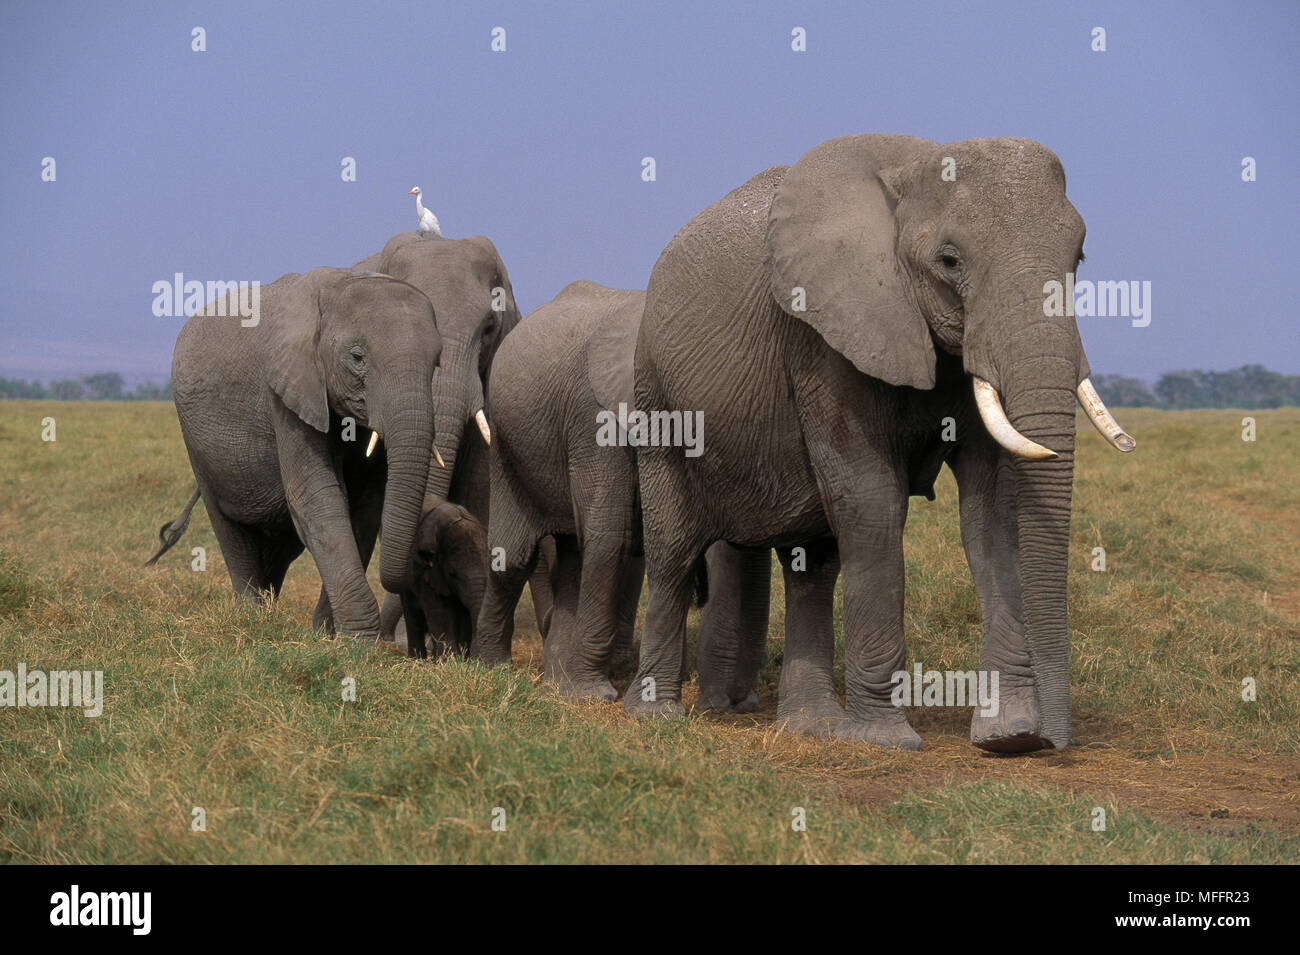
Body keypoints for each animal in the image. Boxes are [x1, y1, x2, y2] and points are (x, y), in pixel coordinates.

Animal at [150, 267, 440, 638]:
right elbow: (317, 497)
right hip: (195, 441)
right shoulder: (287, 391)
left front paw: (328, 636)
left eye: (437, 362)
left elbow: (364, 507)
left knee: (281, 546)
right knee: (231, 533)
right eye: (357, 357)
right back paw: (253, 619)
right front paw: (360, 640)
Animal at [384, 496, 489, 658]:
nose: (476, 657)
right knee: (413, 616)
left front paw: (462, 659)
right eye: (452, 574)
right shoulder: (427, 573)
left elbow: (463, 614)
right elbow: (440, 612)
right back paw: (417, 659)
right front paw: (451, 661)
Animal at [472, 280, 771, 707]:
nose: (741, 702)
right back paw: (497, 669)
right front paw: (596, 696)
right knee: (514, 557)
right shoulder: (593, 417)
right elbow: (612, 536)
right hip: (505, 444)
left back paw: (557, 682)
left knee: (574, 554)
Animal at [626, 134, 1135, 752]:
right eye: (949, 261)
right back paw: (656, 718)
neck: (913, 167)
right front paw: (885, 742)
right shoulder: (825, 331)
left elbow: (994, 511)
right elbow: (873, 501)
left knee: (813, 563)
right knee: (674, 552)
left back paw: (813, 727)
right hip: (657, 397)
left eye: (1079, 259)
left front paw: (1009, 735)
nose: (1055, 743)